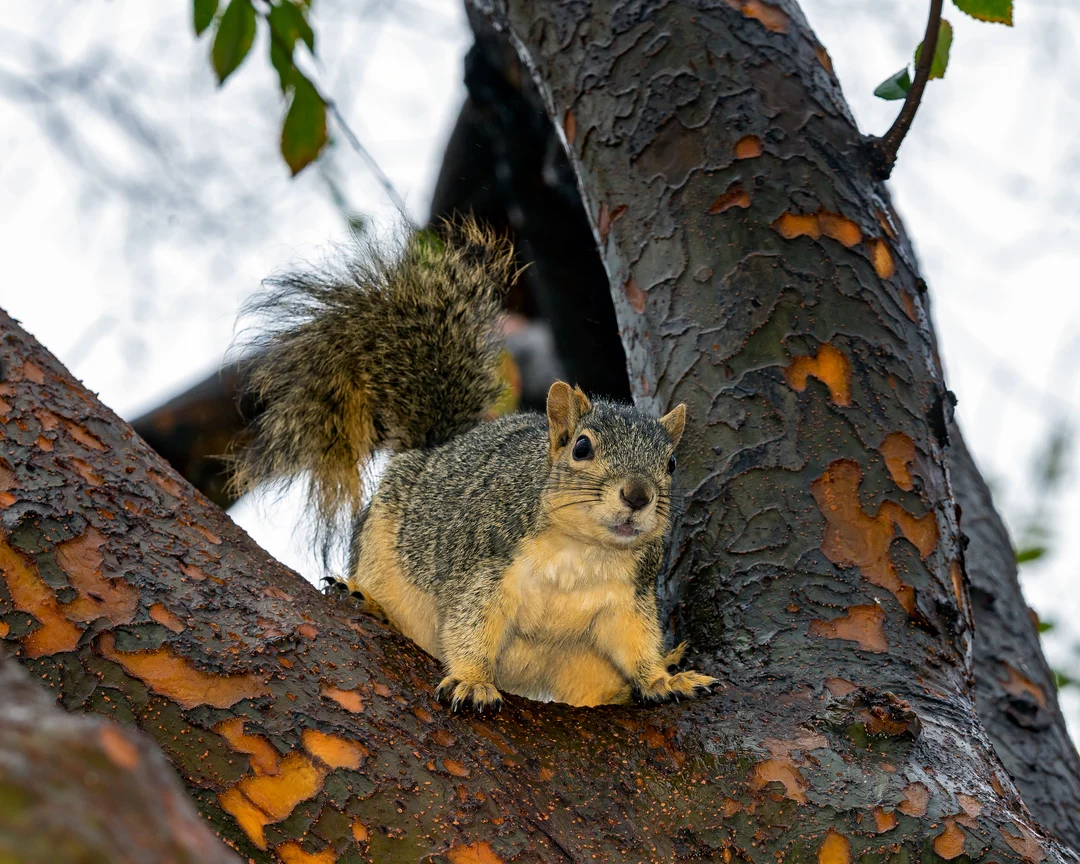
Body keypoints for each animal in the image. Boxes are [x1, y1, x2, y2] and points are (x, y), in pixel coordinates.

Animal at [231, 217, 716, 711]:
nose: (637, 496)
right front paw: (472, 680)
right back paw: (366, 600)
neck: (584, 550)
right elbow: (471, 629)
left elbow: (637, 645)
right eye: (581, 448)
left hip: (582, 665)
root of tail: (437, 447)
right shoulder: (484, 569)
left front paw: (662, 678)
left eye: (672, 462)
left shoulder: (629, 600)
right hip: (383, 549)